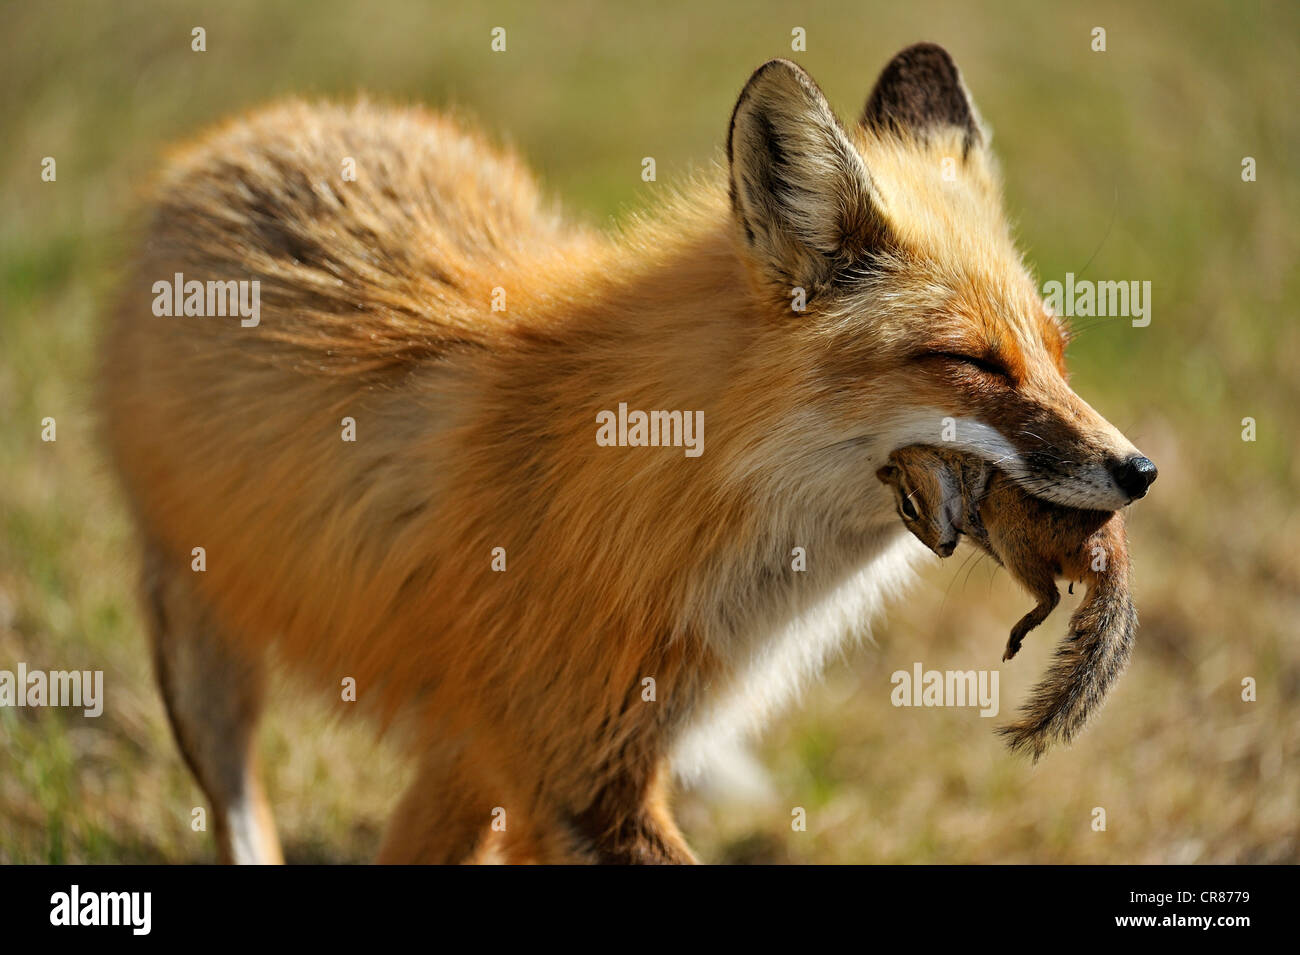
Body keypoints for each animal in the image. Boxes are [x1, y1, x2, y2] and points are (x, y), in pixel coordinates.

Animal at [877, 445, 1136, 760]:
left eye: (908, 506)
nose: (943, 550)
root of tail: (1114, 558)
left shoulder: (974, 467)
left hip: (1011, 529)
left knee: (1051, 597)